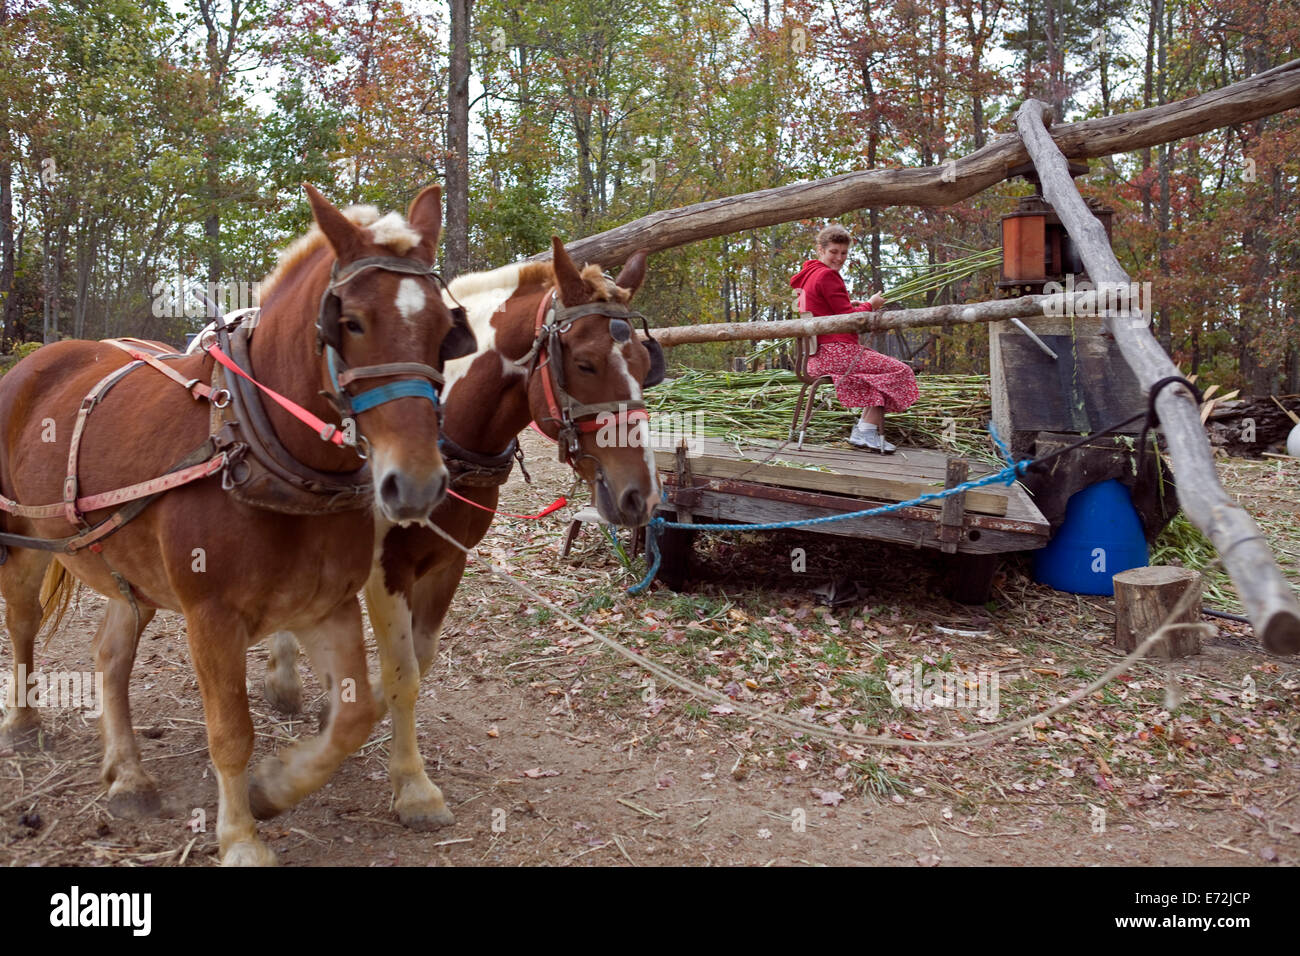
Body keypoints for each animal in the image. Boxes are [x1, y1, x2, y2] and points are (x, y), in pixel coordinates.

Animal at [0, 184, 472, 865]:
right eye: (351, 321)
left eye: (443, 329)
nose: (416, 485)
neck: (259, 449)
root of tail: (38, 359)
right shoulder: (212, 617)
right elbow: (230, 732)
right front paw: (242, 838)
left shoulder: (327, 607)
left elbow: (355, 714)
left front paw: (273, 788)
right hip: (23, 539)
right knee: (23, 624)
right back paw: (24, 722)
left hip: (128, 570)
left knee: (110, 655)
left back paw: (129, 775)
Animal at [261, 236, 664, 829]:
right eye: (585, 363)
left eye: (643, 364)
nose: (641, 497)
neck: (444, 427)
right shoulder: (387, 568)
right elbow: (403, 672)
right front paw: (413, 789)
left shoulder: (450, 560)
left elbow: (417, 663)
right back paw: (284, 679)